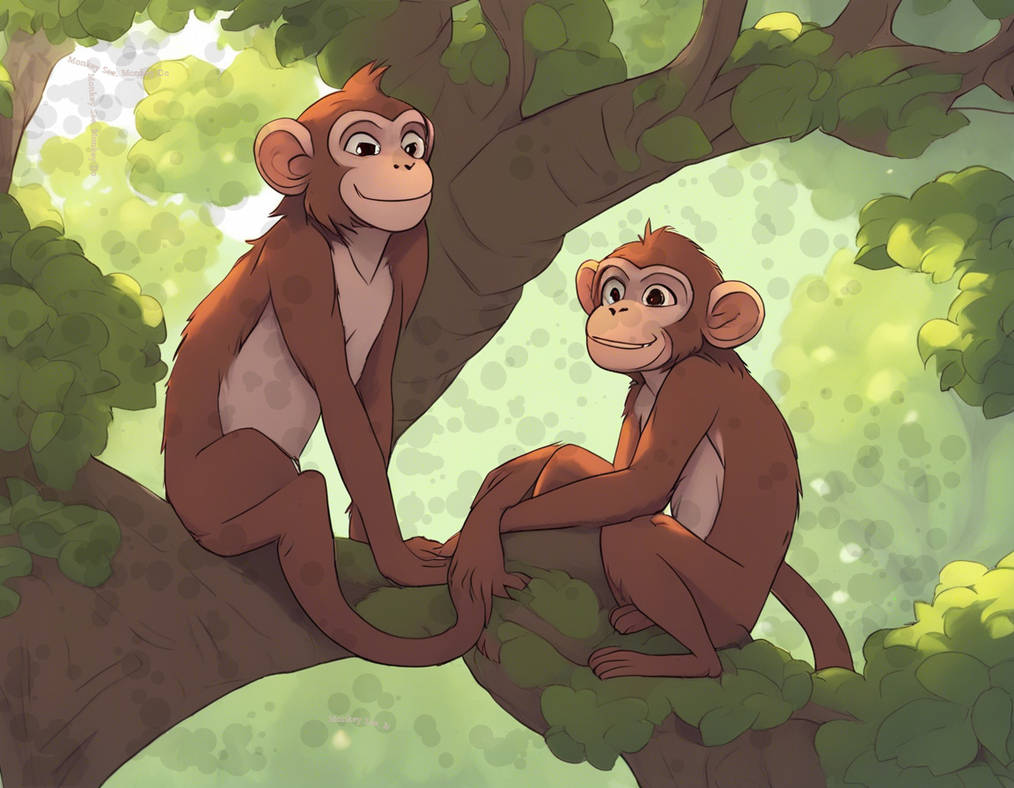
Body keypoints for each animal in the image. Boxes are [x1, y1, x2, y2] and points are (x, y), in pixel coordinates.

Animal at [161, 63, 488, 666]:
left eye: (411, 143)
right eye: (364, 147)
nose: (406, 164)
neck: (353, 243)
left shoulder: (415, 252)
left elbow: (375, 391)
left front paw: (376, 544)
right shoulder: (301, 264)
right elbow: (340, 399)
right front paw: (402, 567)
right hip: (212, 489)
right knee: (282, 475)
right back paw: (280, 518)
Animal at [444, 222, 852, 678]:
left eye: (656, 298)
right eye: (614, 292)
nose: (618, 311)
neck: (681, 361)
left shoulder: (692, 383)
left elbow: (641, 487)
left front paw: (483, 527)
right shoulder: (639, 393)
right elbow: (615, 477)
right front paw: (501, 491)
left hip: (721, 601)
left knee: (632, 534)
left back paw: (693, 661)